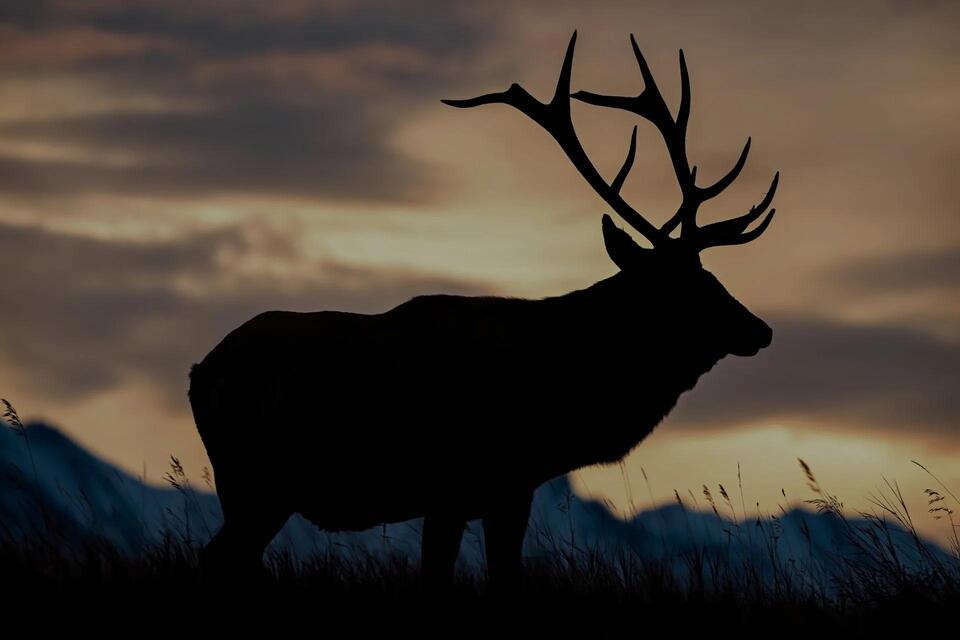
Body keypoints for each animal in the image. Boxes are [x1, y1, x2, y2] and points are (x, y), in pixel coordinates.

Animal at [188, 32, 779, 592]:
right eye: (685, 286)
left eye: (712, 275)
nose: (760, 329)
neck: (568, 404)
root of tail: (199, 372)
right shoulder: (464, 487)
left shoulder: (503, 490)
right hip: (255, 479)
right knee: (219, 558)